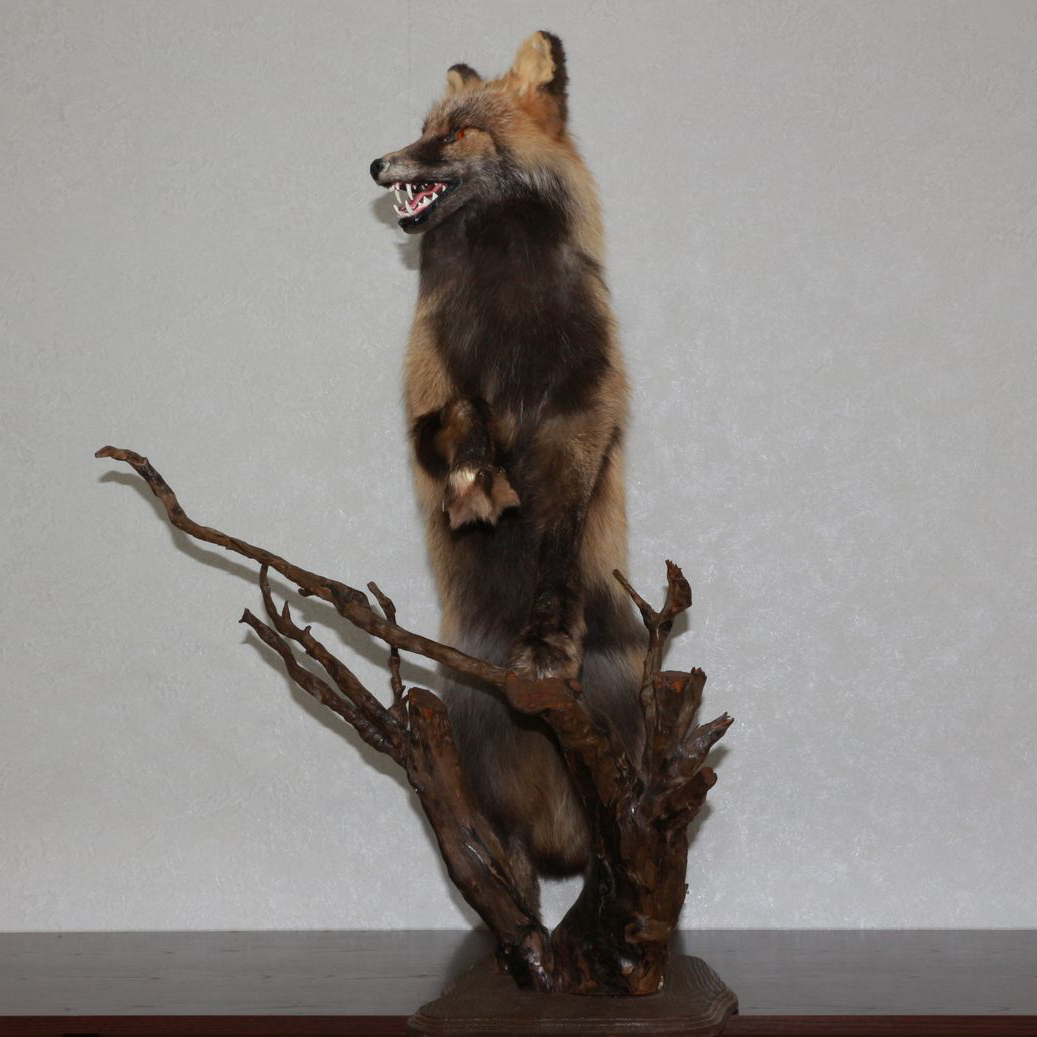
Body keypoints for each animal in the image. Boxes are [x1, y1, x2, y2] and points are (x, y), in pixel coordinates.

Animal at [370, 31, 646, 917]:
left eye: (455, 134)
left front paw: (547, 640)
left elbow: (555, 546)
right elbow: (461, 418)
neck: (508, 315)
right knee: (507, 879)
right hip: (470, 748)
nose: (376, 162)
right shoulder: (428, 399)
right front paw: (474, 482)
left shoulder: (578, 423)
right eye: (422, 128)